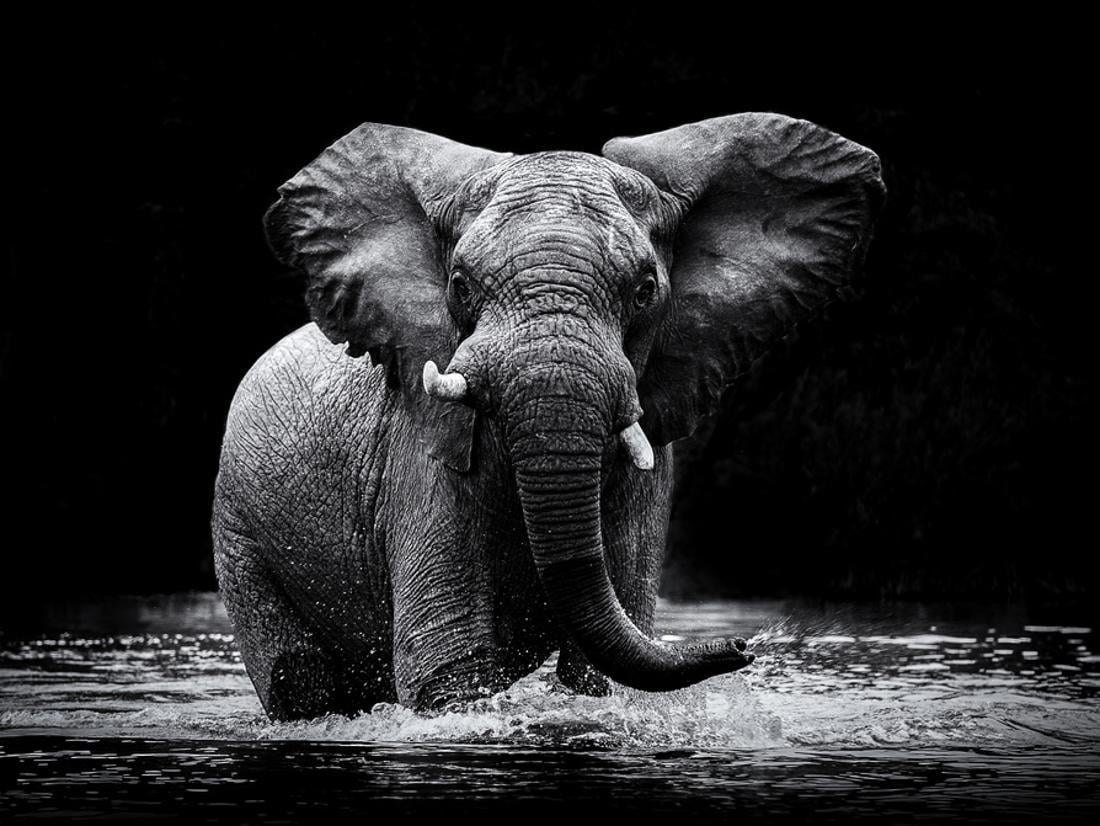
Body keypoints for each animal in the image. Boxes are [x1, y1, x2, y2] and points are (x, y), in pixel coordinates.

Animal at [211, 112, 885, 720]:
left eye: (645, 290)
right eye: (459, 284)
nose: (746, 645)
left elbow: (599, 673)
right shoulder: (422, 452)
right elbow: (446, 668)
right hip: (237, 530)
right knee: (296, 682)